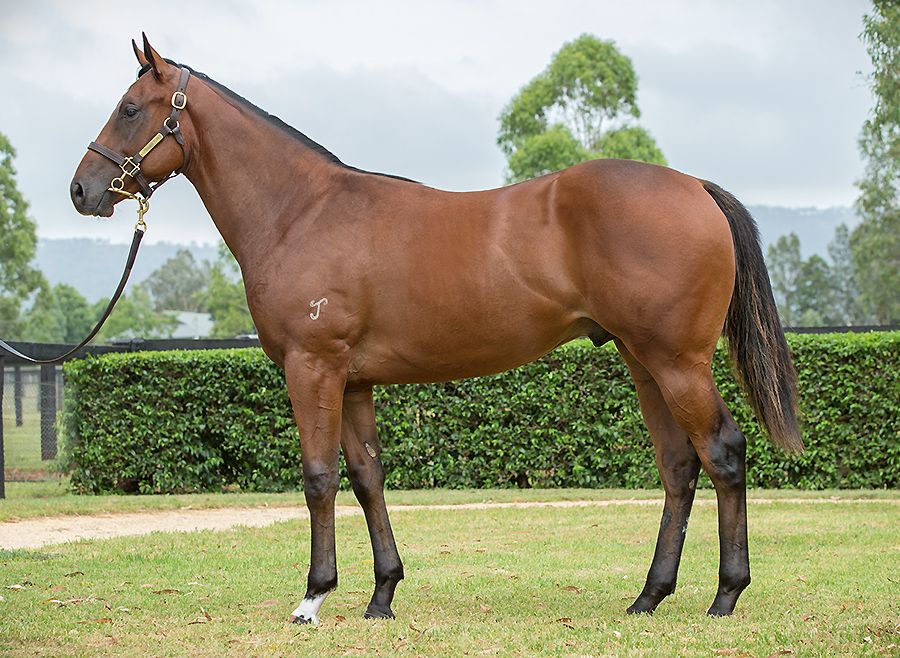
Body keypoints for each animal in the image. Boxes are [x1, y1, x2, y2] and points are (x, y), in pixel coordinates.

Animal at [71, 35, 802, 624]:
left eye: (130, 107)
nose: (83, 190)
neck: (302, 212)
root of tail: (696, 187)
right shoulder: (353, 380)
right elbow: (367, 477)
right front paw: (382, 595)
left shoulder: (313, 367)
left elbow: (318, 477)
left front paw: (312, 598)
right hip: (642, 360)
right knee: (679, 466)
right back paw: (649, 596)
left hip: (677, 361)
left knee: (724, 453)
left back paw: (725, 595)